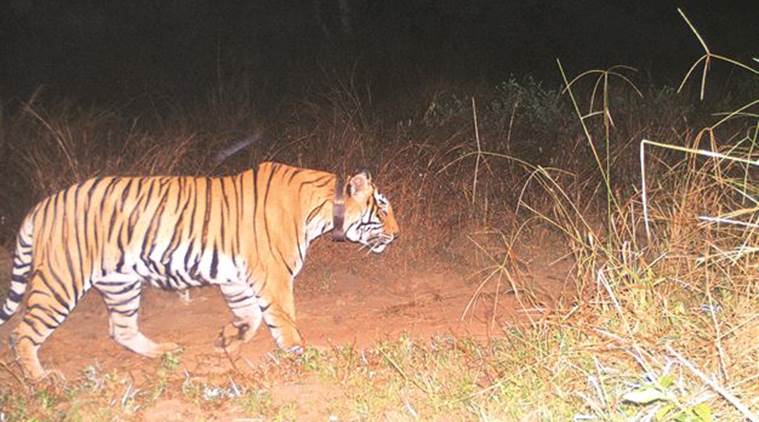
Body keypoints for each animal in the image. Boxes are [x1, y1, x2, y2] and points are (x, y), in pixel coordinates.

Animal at [0, 161, 399, 380]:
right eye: (382, 208)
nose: (397, 234)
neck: (322, 209)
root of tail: (43, 204)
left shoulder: (237, 278)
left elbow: (251, 316)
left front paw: (228, 338)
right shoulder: (274, 277)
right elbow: (283, 320)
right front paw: (300, 353)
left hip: (120, 282)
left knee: (122, 329)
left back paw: (164, 352)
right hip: (62, 279)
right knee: (23, 331)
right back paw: (41, 379)